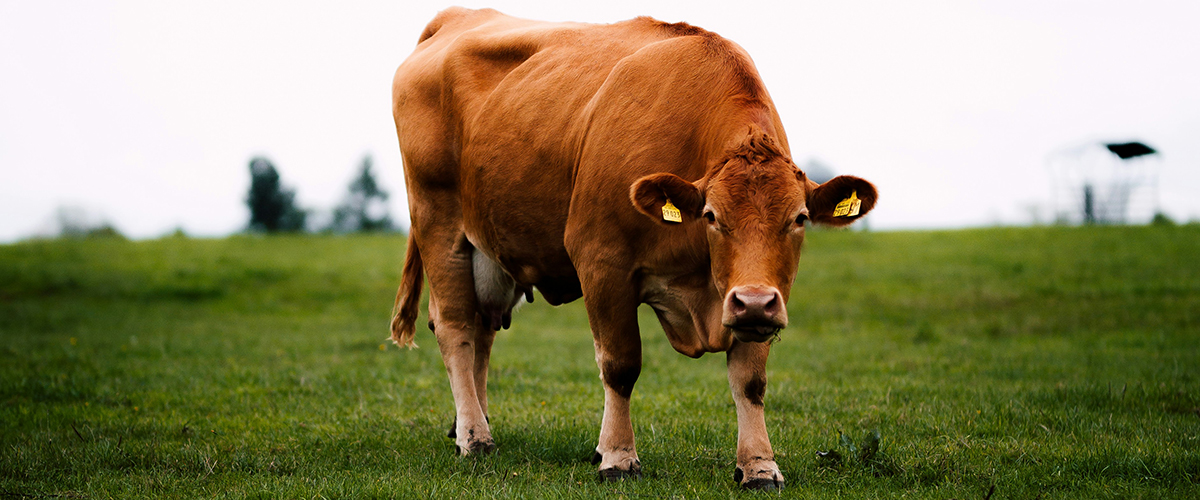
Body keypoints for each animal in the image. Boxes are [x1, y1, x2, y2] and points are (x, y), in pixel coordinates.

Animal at [389, 7, 876, 490]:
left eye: (799, 219)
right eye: (712, 216)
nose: (753, 301)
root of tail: (457, 17)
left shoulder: (763, 297)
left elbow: (750, 379)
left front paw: (759, 465)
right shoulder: (602, 262)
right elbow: (620, 366)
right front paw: (617, 457)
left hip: (489, 248)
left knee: (482, 330)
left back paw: (470, 422)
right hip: (439, 223)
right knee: (455, 327)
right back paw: (475, 437)